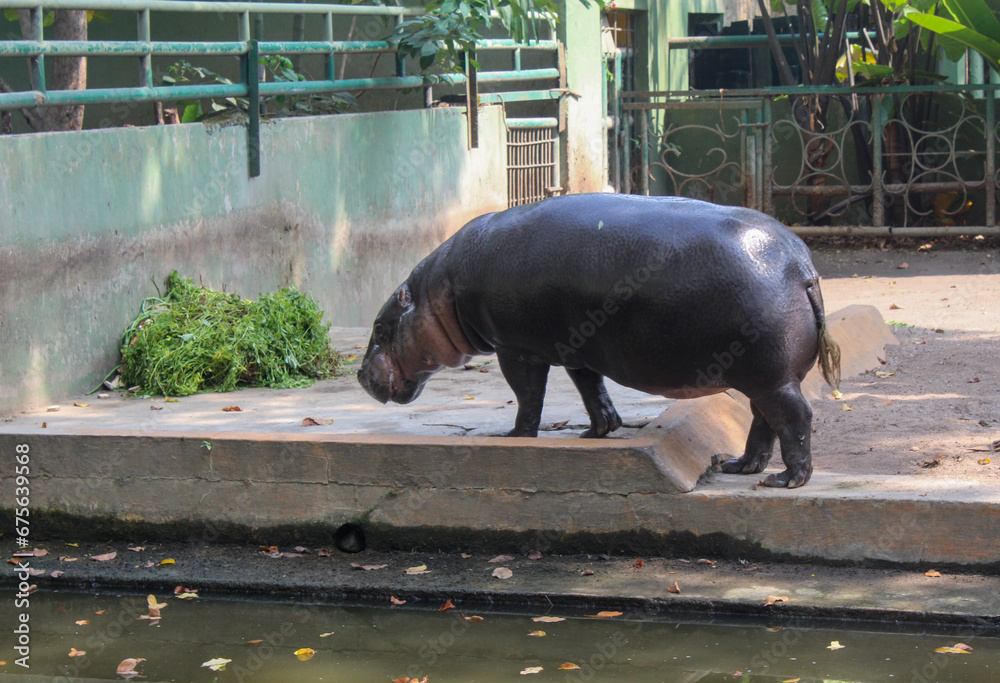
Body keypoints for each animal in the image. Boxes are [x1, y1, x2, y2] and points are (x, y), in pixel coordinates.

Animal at [358, 194, 840, 488]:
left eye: (381, 329)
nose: (360, 374)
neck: (441, 292)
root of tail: (800, 263)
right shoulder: (578, 349)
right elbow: (593, 391)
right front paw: (596, 433)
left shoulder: (516, 349)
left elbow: (528, 396)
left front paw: (513, 435)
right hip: (766, 377)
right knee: (764, 421)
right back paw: (739, 467)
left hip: (772, 377)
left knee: (795, 418)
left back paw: (786, 480)